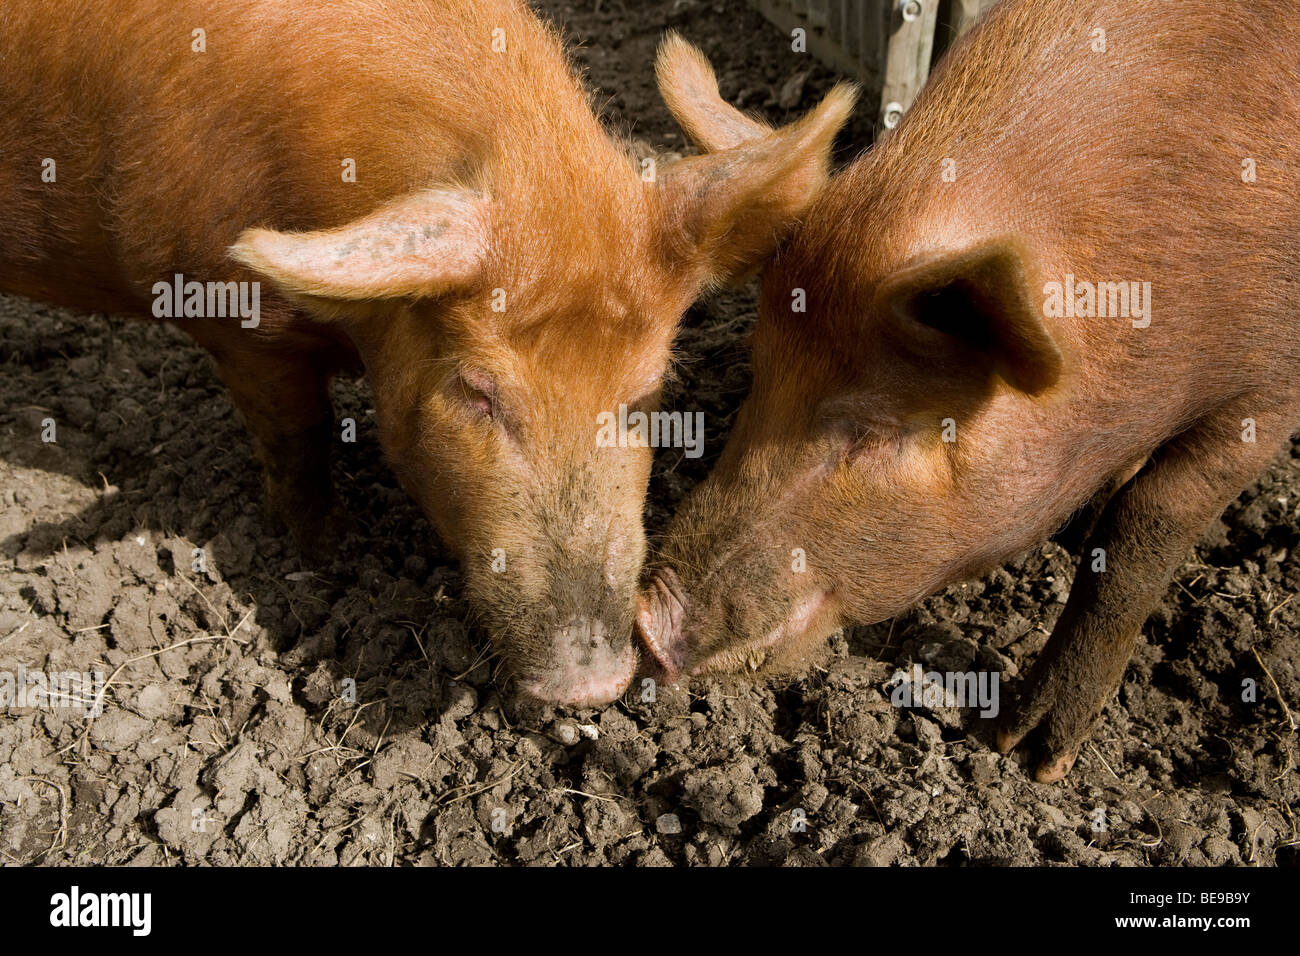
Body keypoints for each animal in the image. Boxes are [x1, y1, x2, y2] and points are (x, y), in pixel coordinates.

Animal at [0, 1, 854, 706]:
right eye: (477, 390)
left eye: (646, 391)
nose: (593, 685)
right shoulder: (235, 326)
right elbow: (298, 438)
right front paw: (327, 553)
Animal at [640, 0, 1300, 779]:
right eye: (758, 373)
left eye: (877, 430)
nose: (645, 620)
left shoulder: (1268, 389)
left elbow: (1149, 521)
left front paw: (1028, 755)